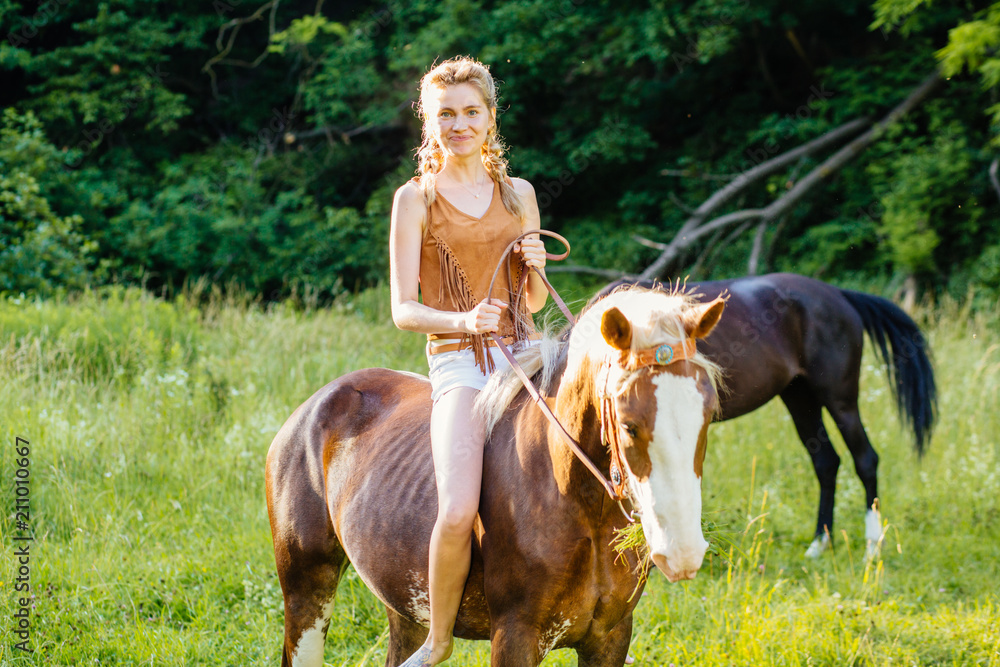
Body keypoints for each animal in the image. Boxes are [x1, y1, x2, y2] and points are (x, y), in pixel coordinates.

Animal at [265, 287, 726, 667]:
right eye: (629, 425)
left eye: (707, 415)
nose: (683, 553)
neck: (579, 504)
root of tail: (312, 407)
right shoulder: (515, 637)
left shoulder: (609, 638)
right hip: (307, 592)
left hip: (404, 606)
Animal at [593, 273, 936, 556]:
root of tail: (838, 294)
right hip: (800, 399)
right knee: (827, 462)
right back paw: (819, 544)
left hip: (841, 401)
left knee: (866, 460)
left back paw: (872, 548)